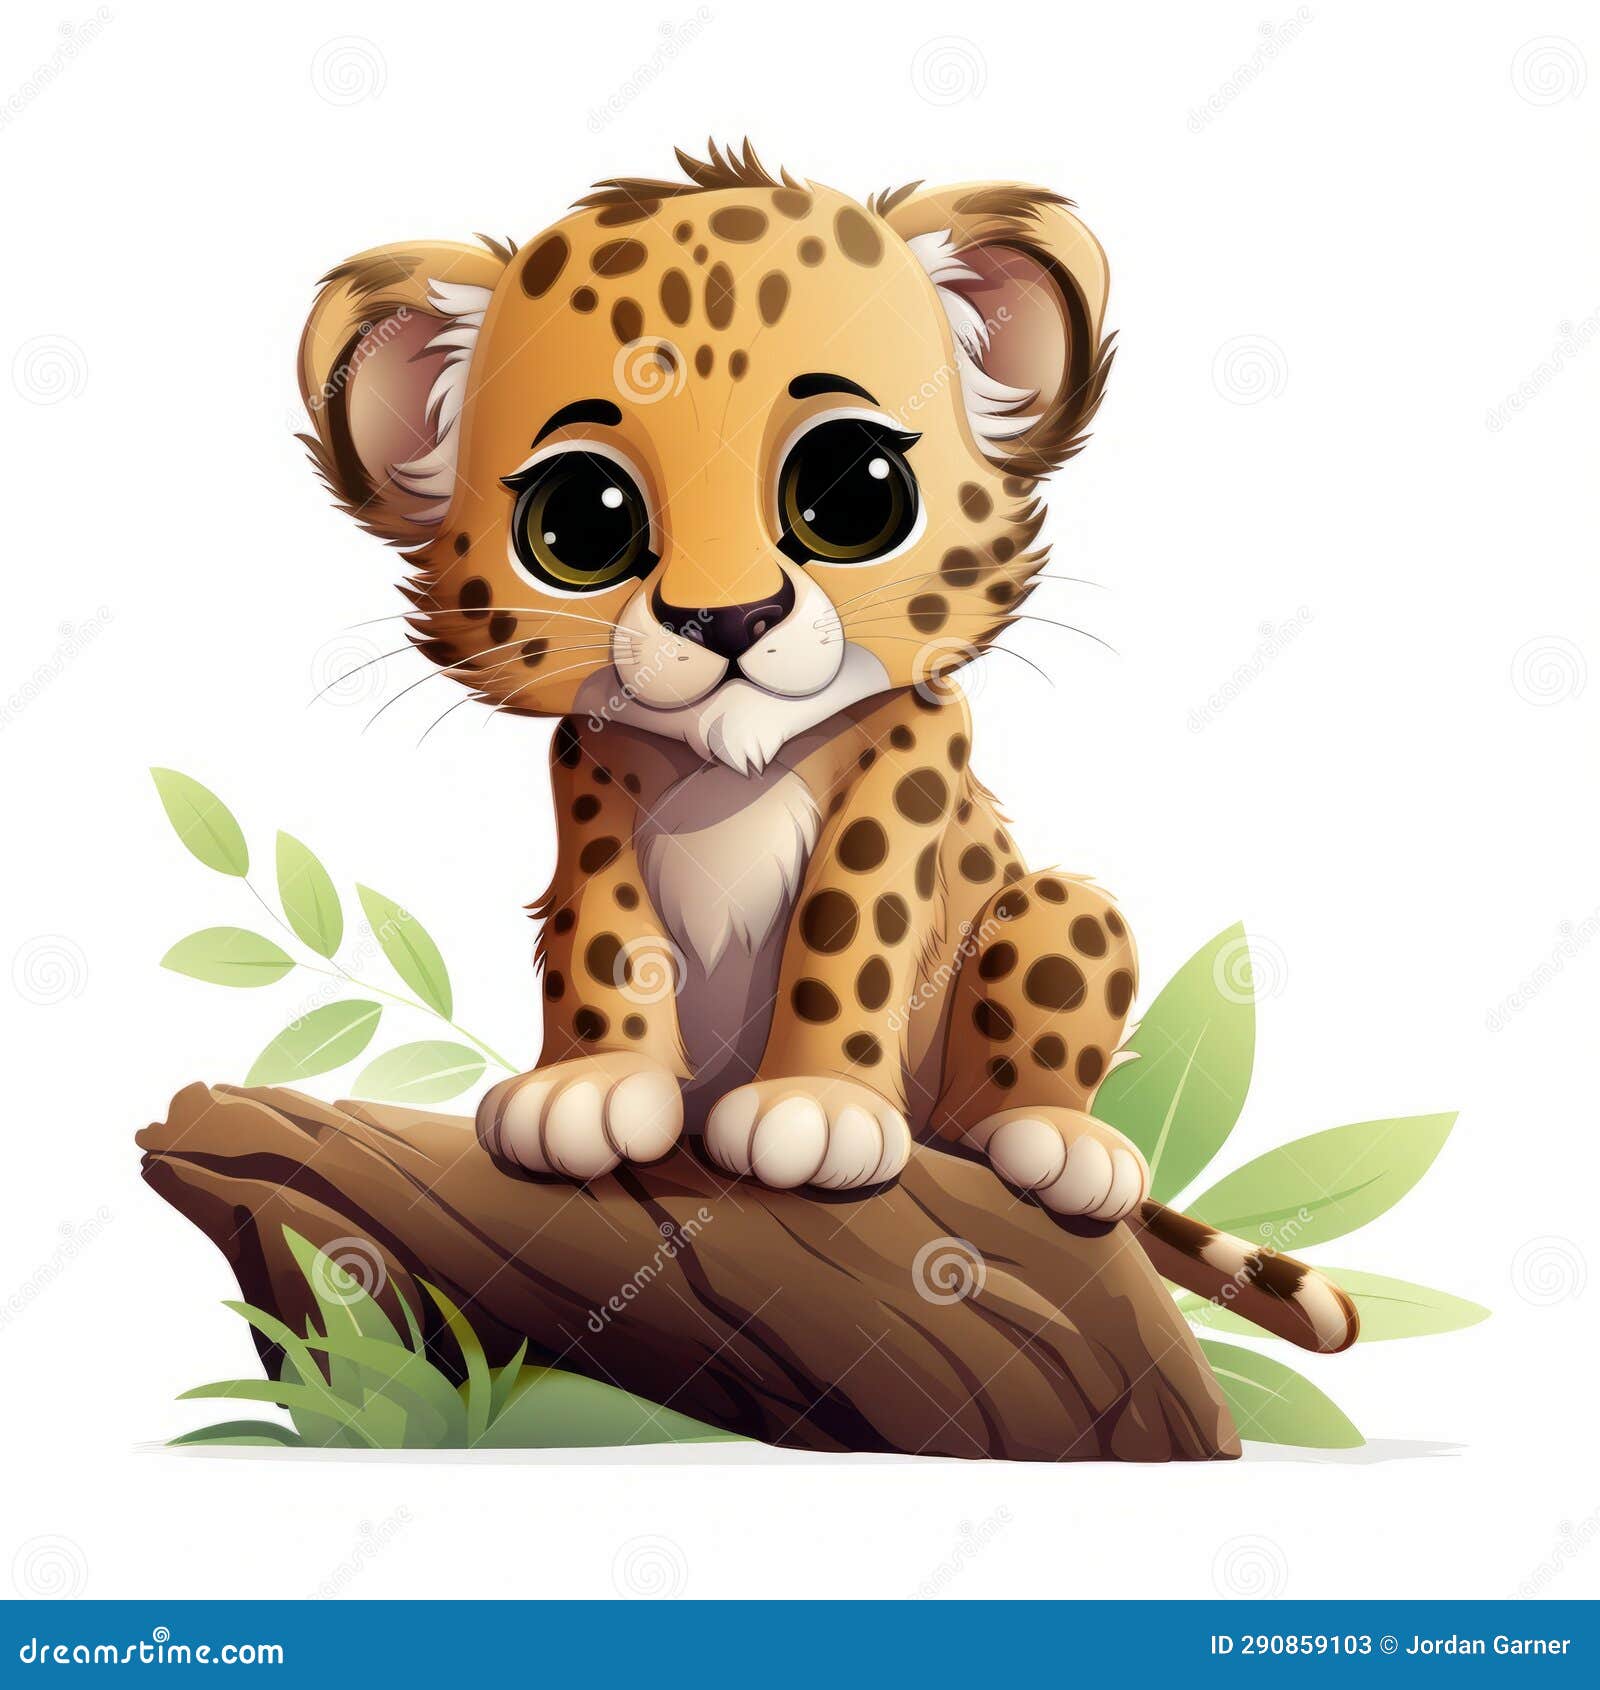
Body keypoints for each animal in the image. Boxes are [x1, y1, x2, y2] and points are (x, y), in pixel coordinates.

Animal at [297, 141, 1357, 1353]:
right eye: (580, 522)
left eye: (852, 489)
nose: (727, 618)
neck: (733, 762)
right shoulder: (588, 779)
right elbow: (601, 933)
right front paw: (591, 1083)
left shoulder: (910, 773)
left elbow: (849, 929)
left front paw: (819, 1106)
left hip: (1055, 918)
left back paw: (1058, 1140)